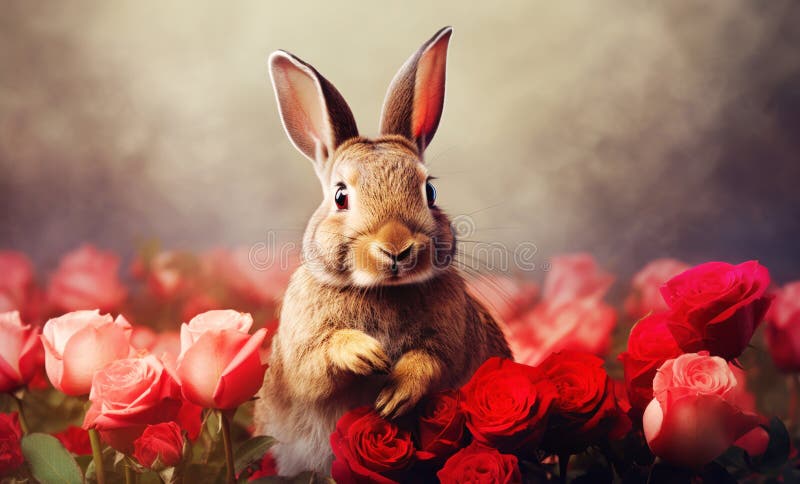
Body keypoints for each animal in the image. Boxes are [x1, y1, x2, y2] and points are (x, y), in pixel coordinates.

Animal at [254, 26, 511, 476]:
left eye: (430, 192)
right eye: (340, 196)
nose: (396, 247)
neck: (384, 290)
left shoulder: (451, 342)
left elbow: (431, 360)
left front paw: (393, 396)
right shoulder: (301, 349)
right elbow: (315, 365)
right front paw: (366, 354)